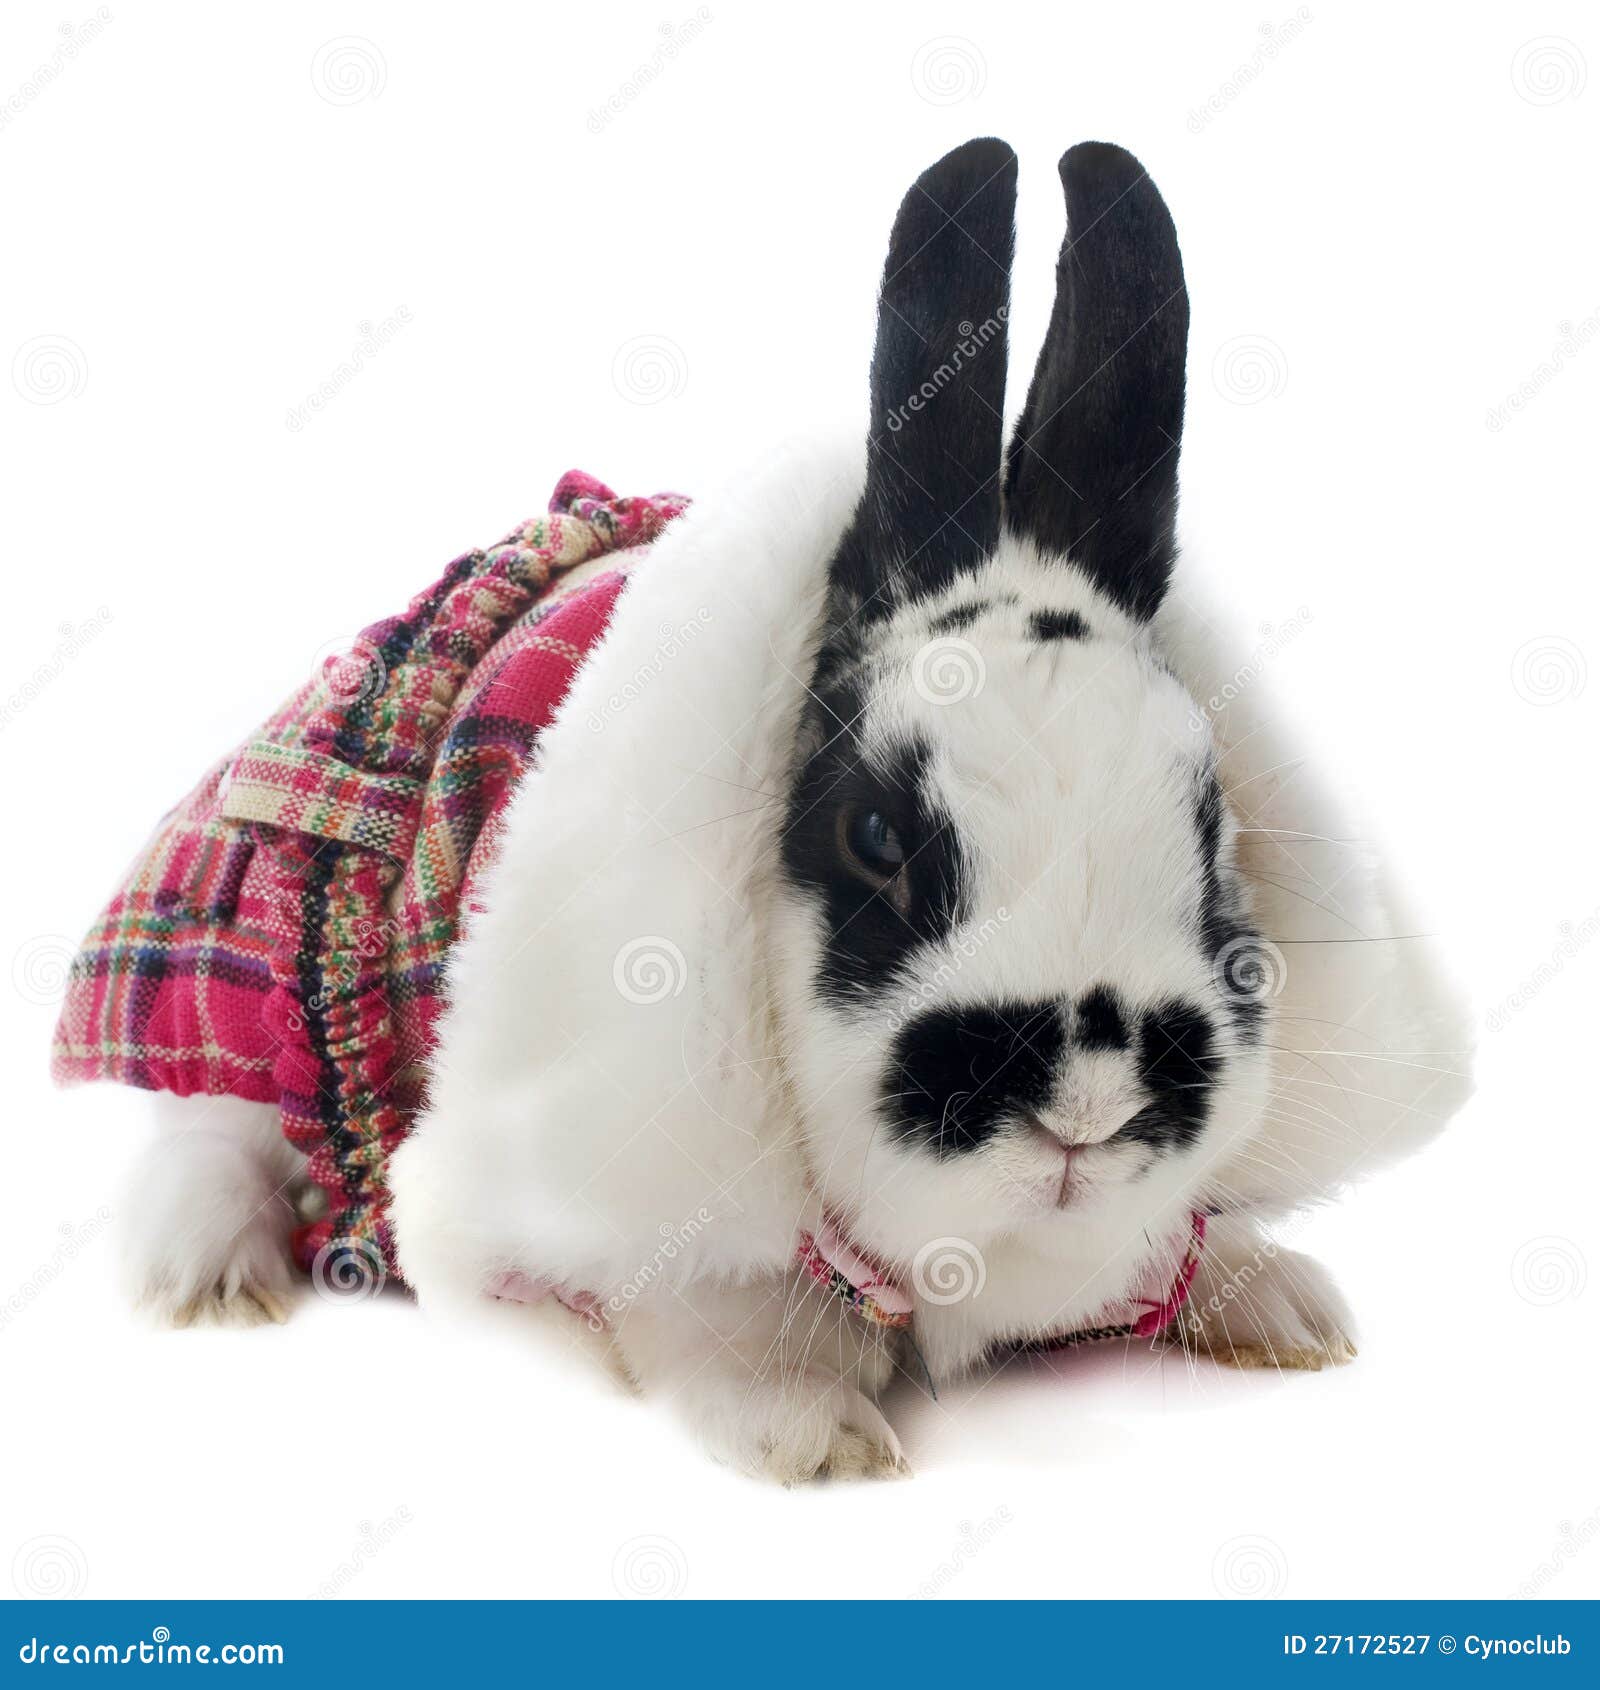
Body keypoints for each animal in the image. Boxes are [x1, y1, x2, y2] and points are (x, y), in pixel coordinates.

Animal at [118, 138, 1472, 1481]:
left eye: (1210, 830)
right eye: (872, 837)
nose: (1084, 1111)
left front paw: (1287, 1310)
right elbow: (706, 1304)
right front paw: (813, 1433)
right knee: (211, 1130)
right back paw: (209, 1278)